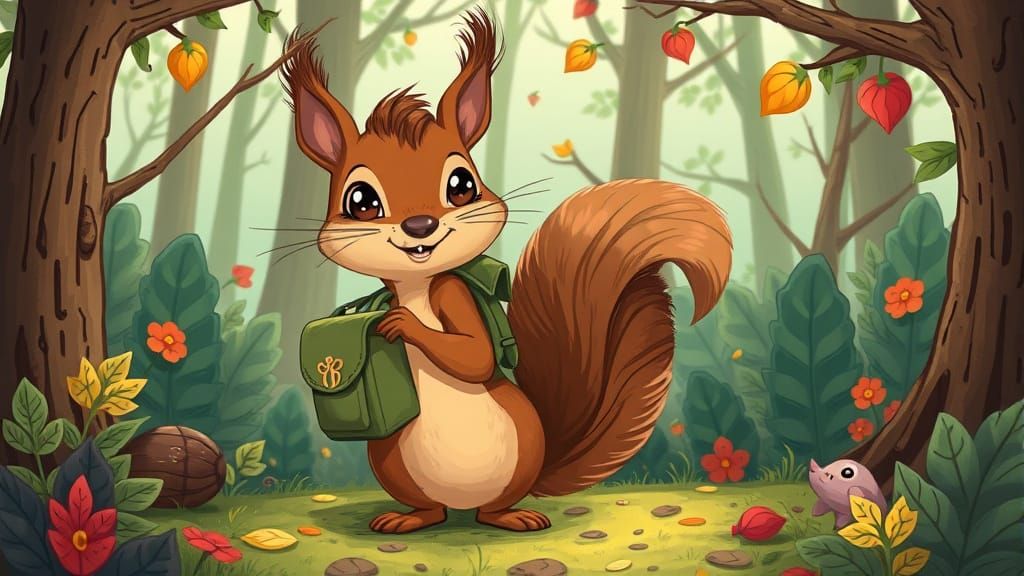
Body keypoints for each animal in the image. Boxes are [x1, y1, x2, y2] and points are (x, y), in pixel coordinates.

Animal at [282, 9, 732, 534]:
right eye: (360, 200)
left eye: (462, 184)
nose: (420, 226)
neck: (417, 286)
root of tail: (462, 505)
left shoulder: (451, 292)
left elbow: (475, 355)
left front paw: (403, 324)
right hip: (390, 459)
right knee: (430, 509)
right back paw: (410, 518)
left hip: (517, 458)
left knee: (494, 507)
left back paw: (512, 517)